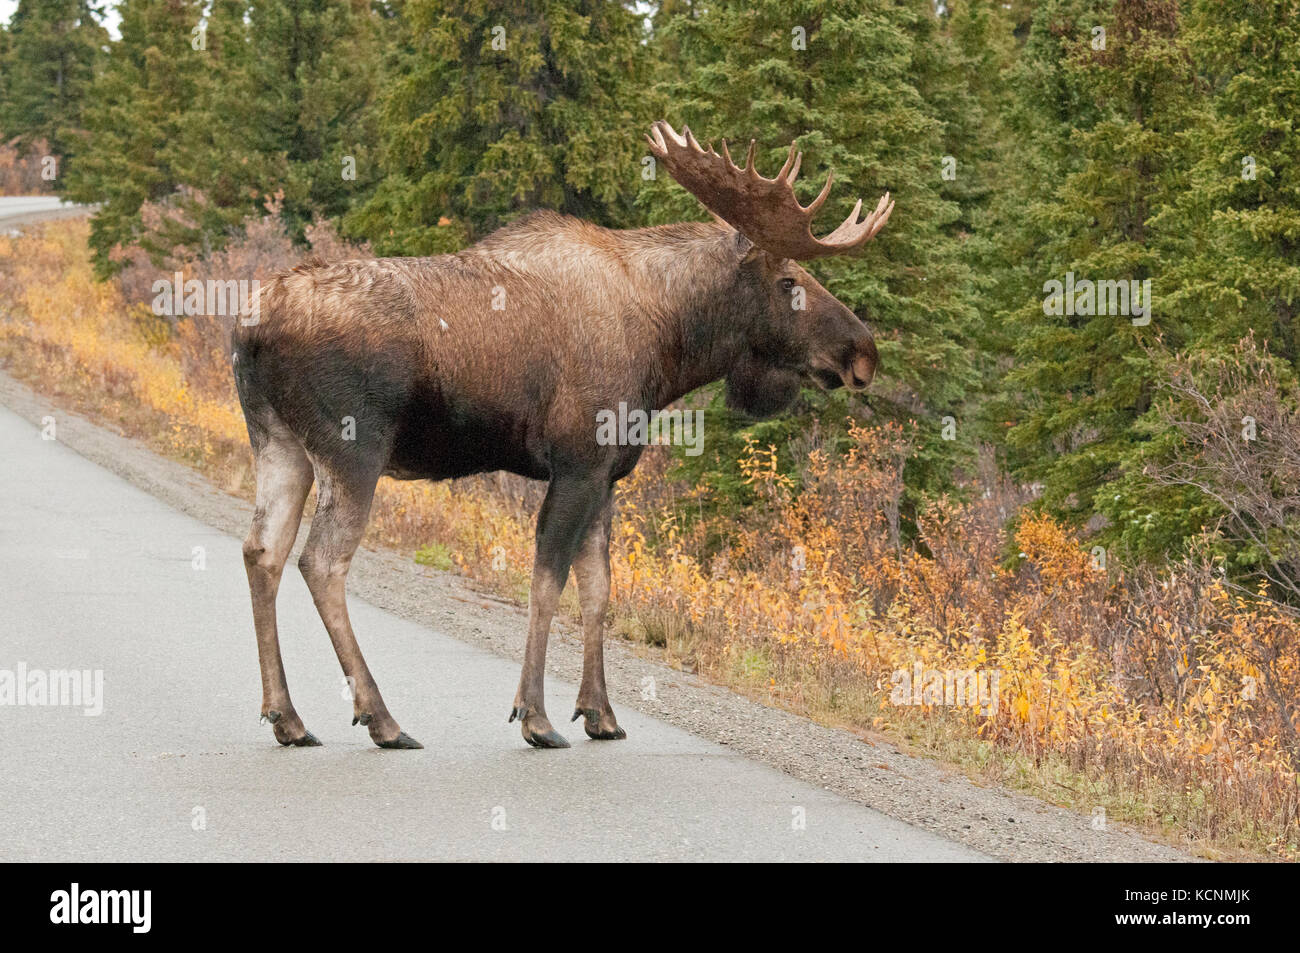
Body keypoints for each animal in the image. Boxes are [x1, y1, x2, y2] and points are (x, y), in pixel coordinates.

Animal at [232, 120, 893, 750]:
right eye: (789, 281)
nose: (863, 353)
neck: (670, 344)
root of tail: (249, 329)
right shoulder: (577, 462)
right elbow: (548, 584)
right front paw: (536, 716)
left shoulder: (607, 475)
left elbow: (598, 589)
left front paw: (600, 713)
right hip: (353, 451)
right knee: (321, 562)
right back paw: (381, 719)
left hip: (279, 444)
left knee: (262, 550)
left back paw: (287, 717)